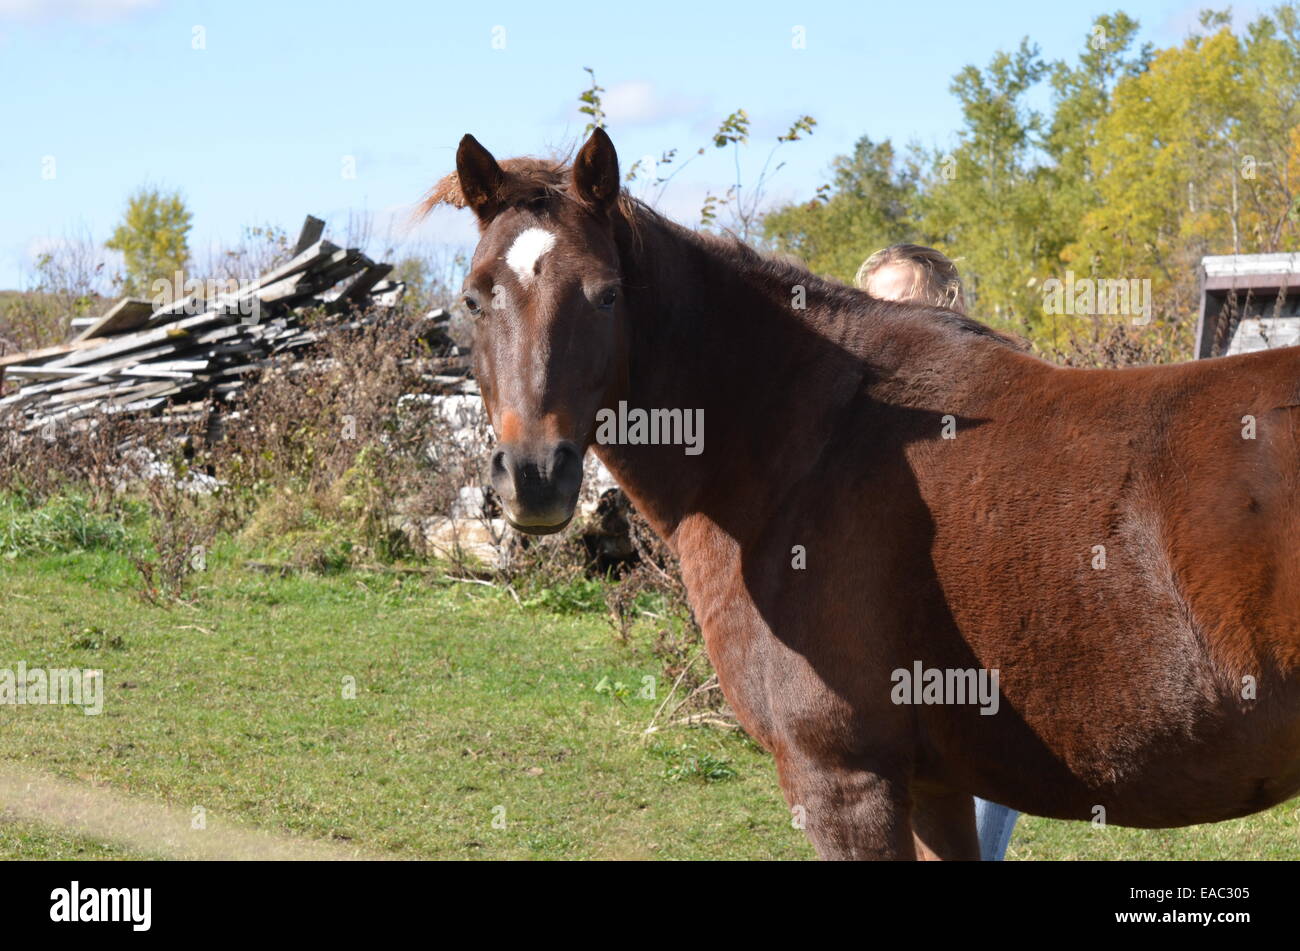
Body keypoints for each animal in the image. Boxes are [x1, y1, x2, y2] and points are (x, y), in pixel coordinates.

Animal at [423, 127, 1300, 859]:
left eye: (606, 293)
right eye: (474, 297)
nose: (534, 475)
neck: (803, 443)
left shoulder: (843, 780)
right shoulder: (938, 783)